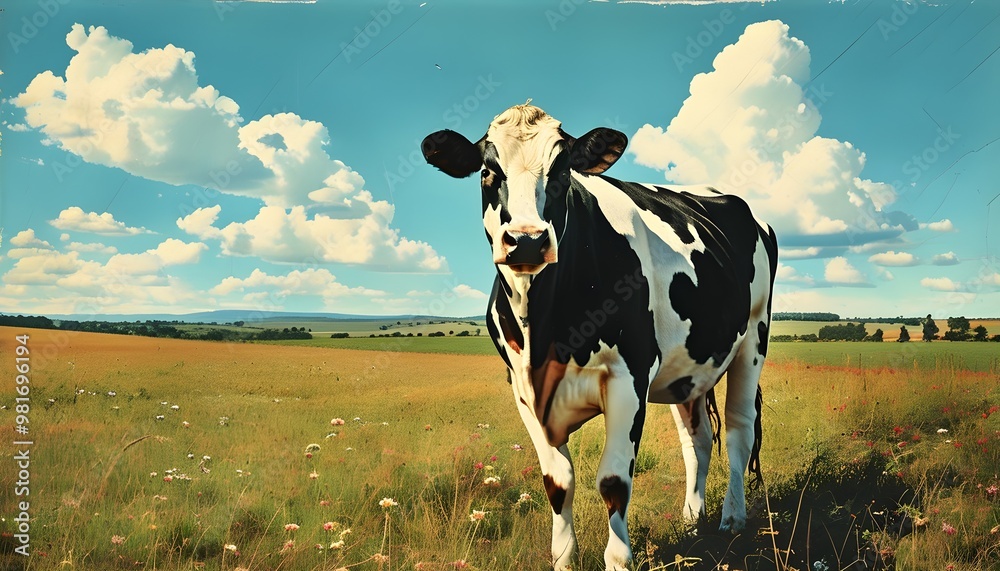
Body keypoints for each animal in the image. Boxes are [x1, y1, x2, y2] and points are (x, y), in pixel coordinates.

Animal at [422, 103, 777, 571]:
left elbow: (613, 481)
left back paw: (731, 518)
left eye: (561, 171)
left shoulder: (630, 375)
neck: (544, 325)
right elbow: (557, 482)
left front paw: (618, 558)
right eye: (487, 171)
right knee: (697, 442)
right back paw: (691, 520)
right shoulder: (523, 388)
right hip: (688, 369)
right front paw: (562, 557)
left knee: (739, 432)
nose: (526, 241)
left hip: (752, 339)